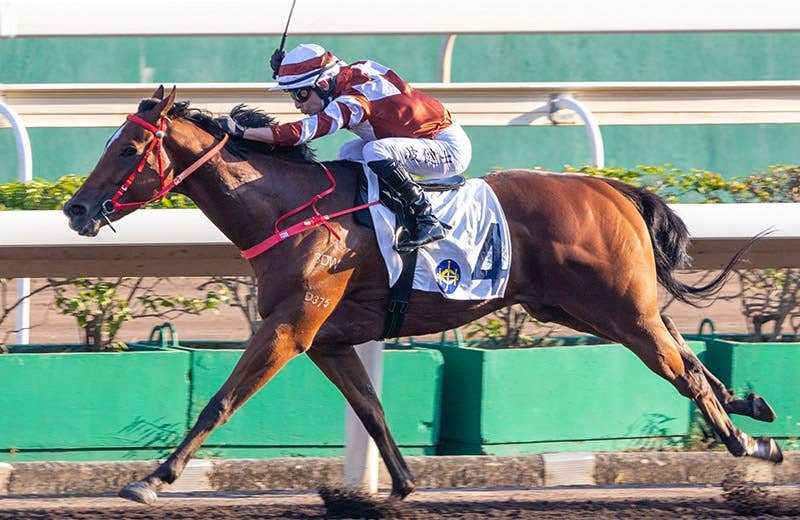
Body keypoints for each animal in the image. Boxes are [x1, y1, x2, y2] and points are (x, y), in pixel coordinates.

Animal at [63, 86, 782, 505]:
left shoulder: (289, 328)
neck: (290, 207)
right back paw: (752, 411)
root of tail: (612, 188)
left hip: (619, 308)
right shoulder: (327, 340)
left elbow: (220, 402)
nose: (75, 209)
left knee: (683, 370)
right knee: (687, 354)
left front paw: (152, 478)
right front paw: (399, 487)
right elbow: (372, 411)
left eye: (126, 148)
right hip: (584, 308)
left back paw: (746, 444)